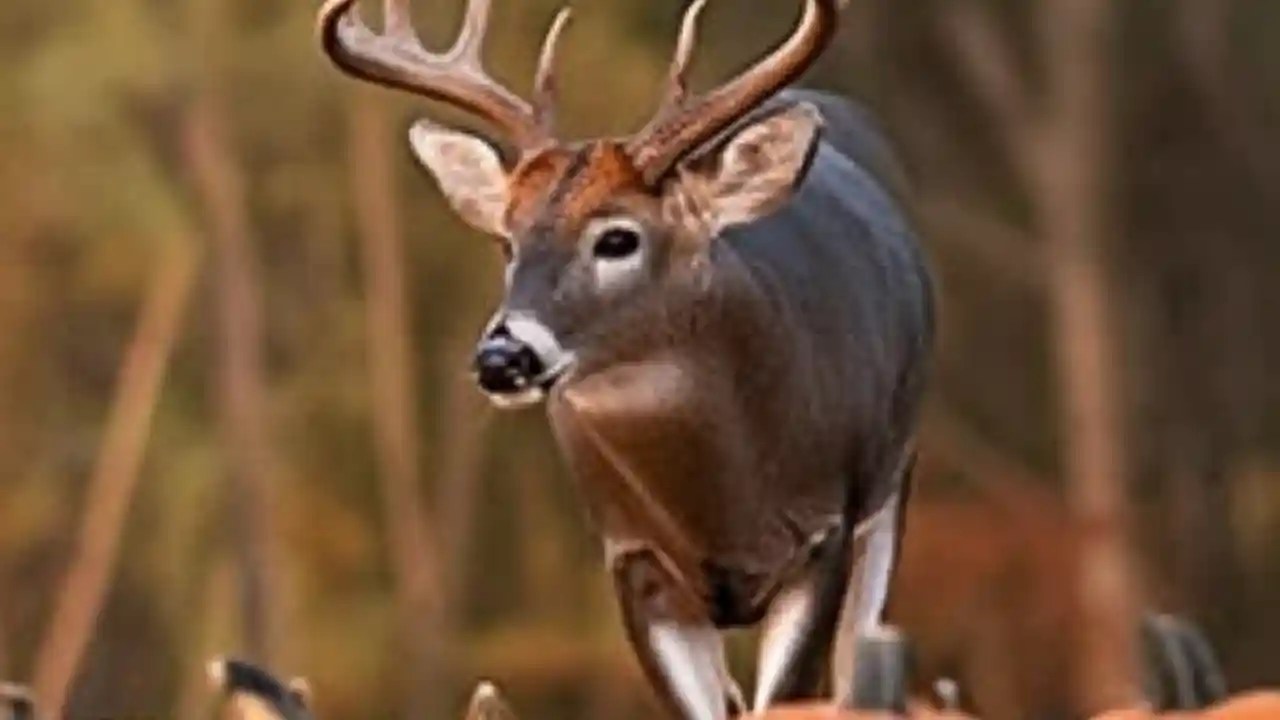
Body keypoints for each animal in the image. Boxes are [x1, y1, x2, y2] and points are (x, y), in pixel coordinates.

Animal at [318, 0, 935, 717]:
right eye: (508, 243)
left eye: (617, 238)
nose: (502, 355)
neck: (724, 511)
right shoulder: (632, 555)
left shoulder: (825, 532)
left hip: (892, 487)